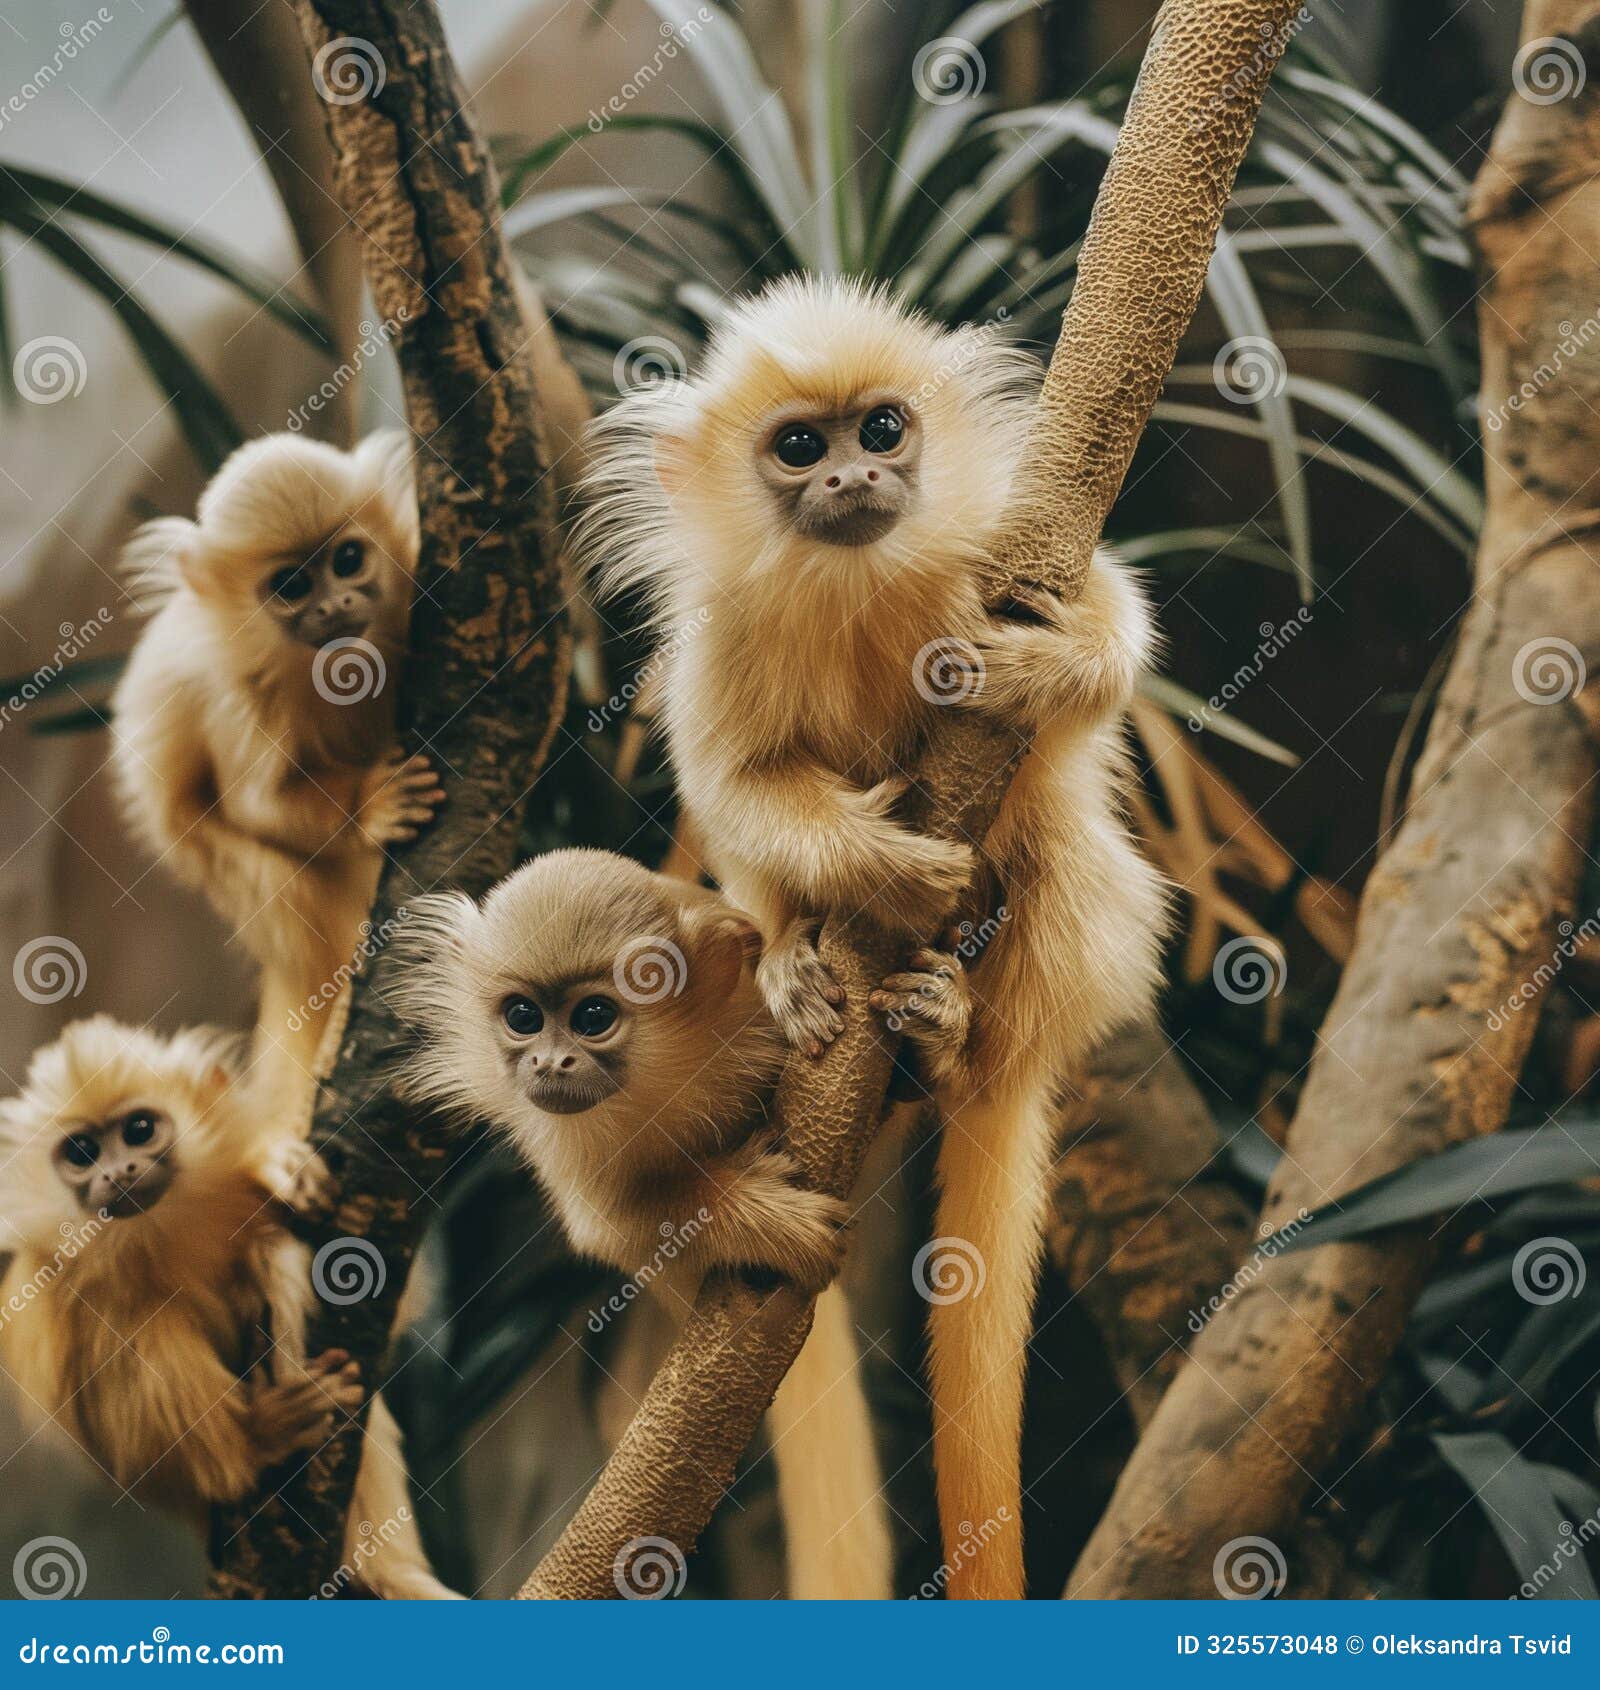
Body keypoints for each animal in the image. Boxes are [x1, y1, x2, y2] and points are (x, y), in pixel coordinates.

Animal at [0, 1016, 455, 1598]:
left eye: (139, 1130)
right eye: (81, 1152)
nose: (118, 1171)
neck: (160, 1229)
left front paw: (271, 1164)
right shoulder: (50, 1289)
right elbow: (126, 1443)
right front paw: (254, 1439)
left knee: (272, 1251)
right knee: (139, 1324)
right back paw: (262, 1436)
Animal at [110, 431, 444, 1107]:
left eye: (348, 560)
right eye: (291, 583)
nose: (338, 603)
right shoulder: (238, 699)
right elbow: (256, 808)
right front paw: (376, 805)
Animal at [390, 847, 894, 1599]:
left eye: (595, 1014)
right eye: (522, 1016)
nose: (550, 1061)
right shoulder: (564, 1145)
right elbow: (617, 1225)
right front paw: (763, 1216)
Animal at [575, 275, 1167, 1598]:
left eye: (883, 428)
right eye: (801, 445)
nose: (852, 476)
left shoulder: (1003, 548)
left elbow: (1114, 631)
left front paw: (1052, 662)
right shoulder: (722, 641)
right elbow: (734, 788)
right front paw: (876, 867)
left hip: (1065, 933)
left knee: (1051, 858)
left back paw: (952, 1040)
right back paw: (804, 967)